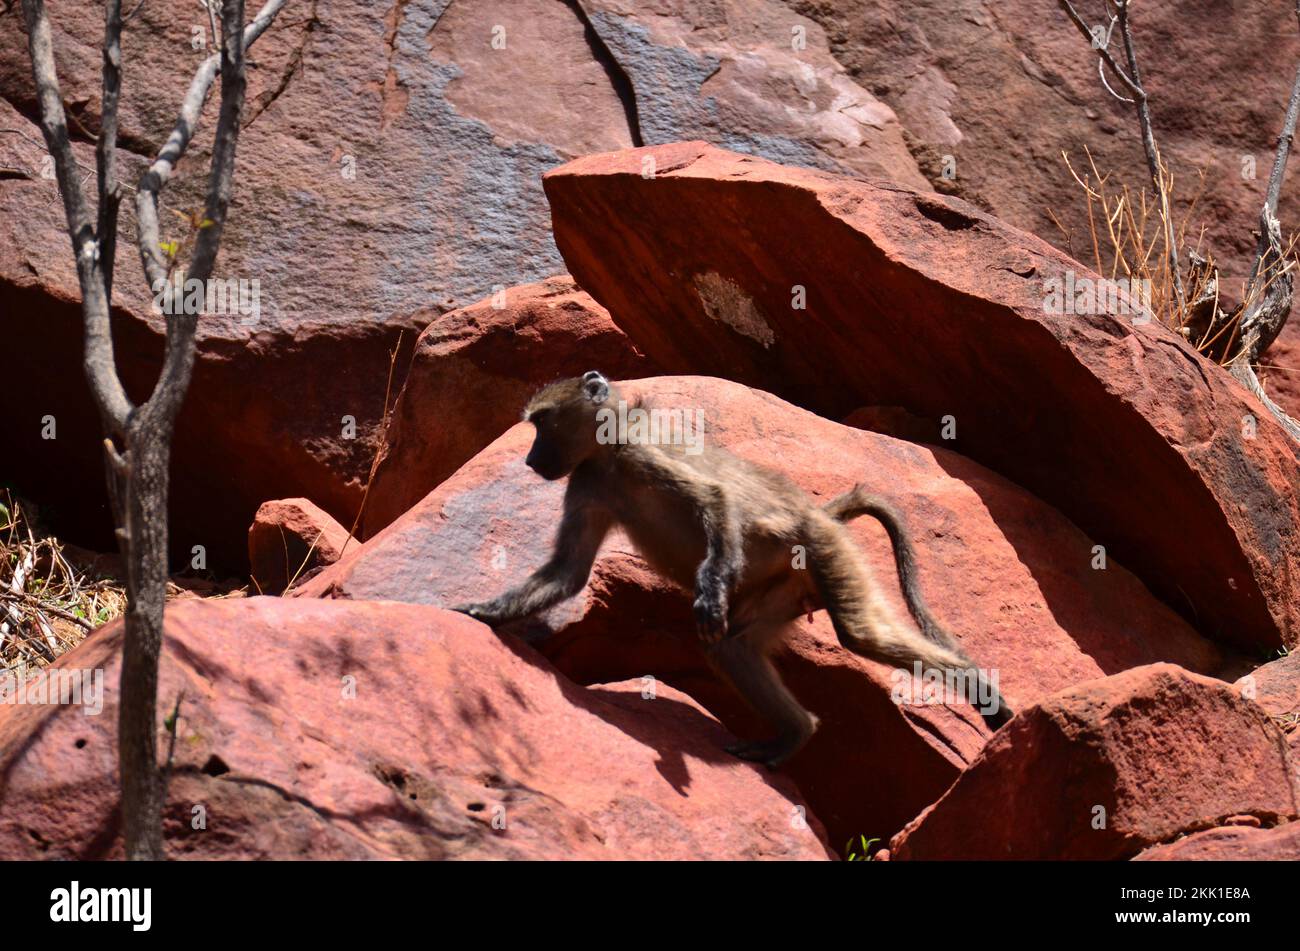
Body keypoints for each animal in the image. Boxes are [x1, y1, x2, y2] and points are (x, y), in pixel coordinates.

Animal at [454, 371, 1012, 767]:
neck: (609, 452)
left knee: (858, 633)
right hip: (785, 589)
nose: (530, 460)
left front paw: (709, 588)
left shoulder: (642, 455)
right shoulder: (587, 482)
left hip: (826, 551)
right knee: (733, 647)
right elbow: (567, 574)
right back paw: (794, 736)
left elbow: (716, 498)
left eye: (541, 424)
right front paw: (481, 611)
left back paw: (983, 692)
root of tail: (819, 515)